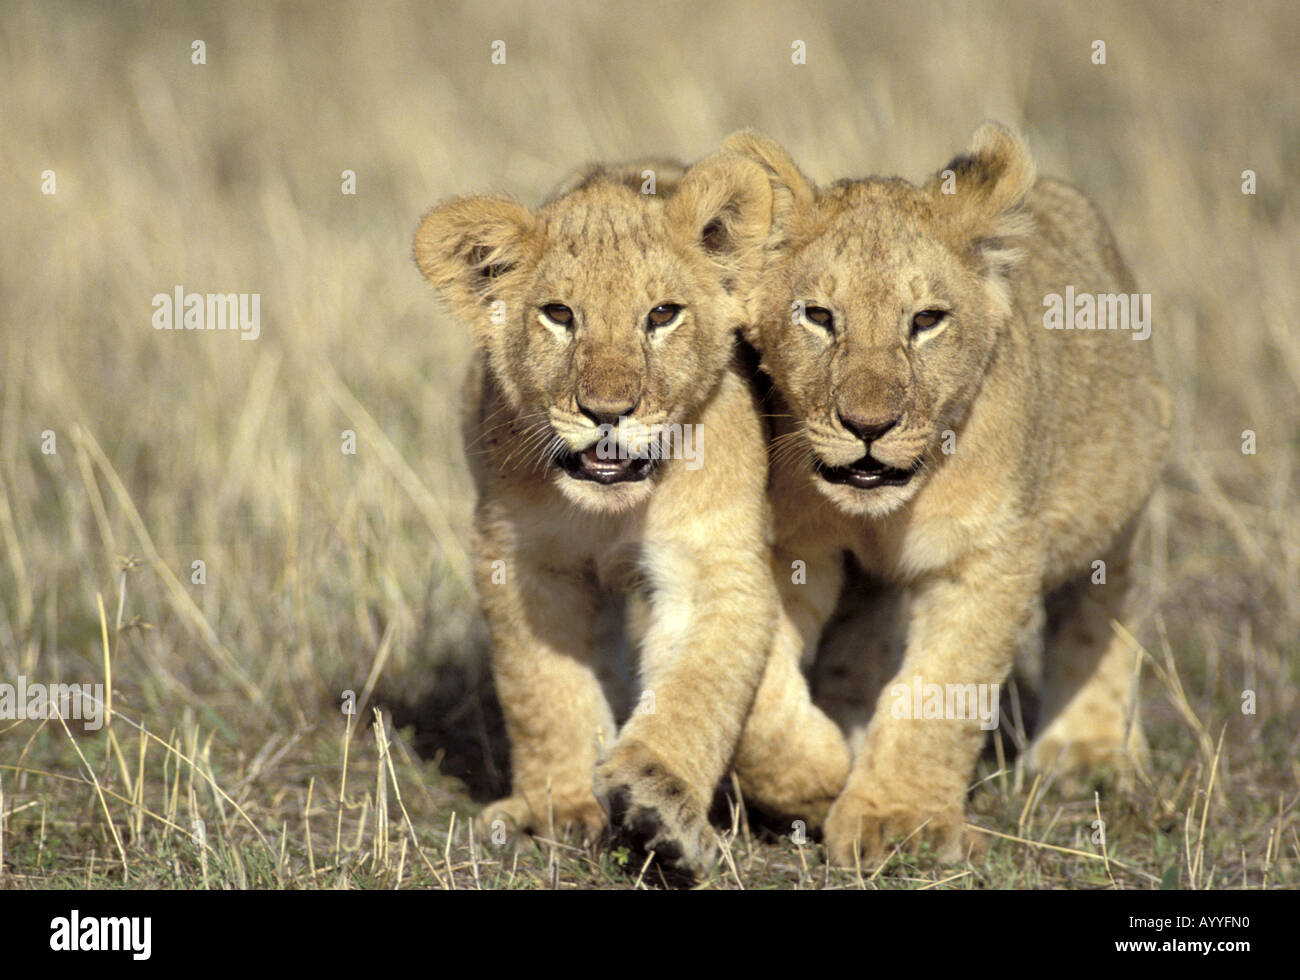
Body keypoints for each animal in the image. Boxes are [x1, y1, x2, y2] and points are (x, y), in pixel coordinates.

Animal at [413, 153, 848, 884]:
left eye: (662, 314)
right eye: (559, 314)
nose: (607, 411)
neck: (611, 511)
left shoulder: (709, 565)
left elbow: (694, 693)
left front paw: (659, 813)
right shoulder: (526, 561)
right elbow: (546, 690)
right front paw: (560, 807)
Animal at [724, 123, 1172, 867]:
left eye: (927, 320)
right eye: (818, 316)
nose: (868, 426)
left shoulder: (986, 559)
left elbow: (938, 695)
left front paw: (896, 821)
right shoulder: (786, 546)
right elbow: (760, 695)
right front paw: (820, 776)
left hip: (1122, 505)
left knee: (1103, 610)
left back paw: (1090, 751)